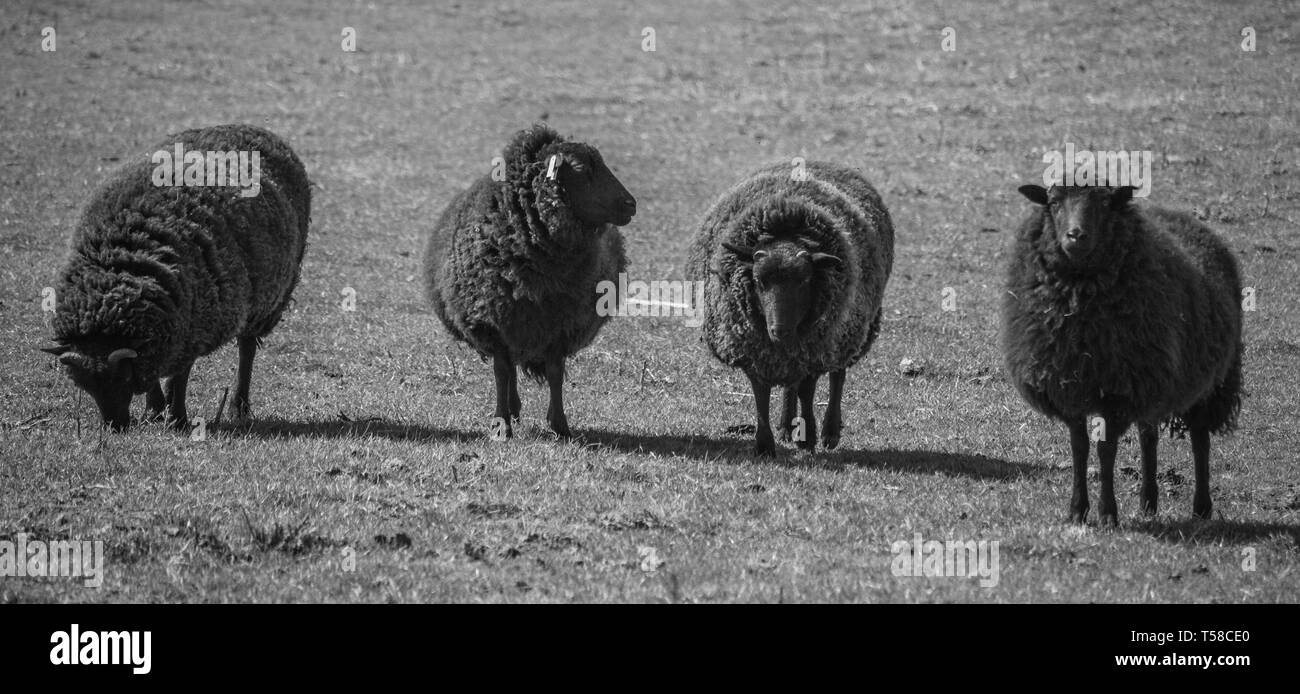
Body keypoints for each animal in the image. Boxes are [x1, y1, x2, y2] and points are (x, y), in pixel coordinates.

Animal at [40, 123, 311, 431]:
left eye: (121, 377)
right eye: (84, 385)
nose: (115, 426)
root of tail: (256, 128)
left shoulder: (193, 327)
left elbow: (178, 377)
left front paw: (177, 418)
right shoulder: (161, 336)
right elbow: (154, 374)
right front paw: (154, 411)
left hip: (266, 302)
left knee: (246, 350)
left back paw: (238, 407)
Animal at [423, 123, 636, 439]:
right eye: (580, 169)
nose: (630, 204)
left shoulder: (561, 325)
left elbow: (555, 374)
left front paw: (560, 425)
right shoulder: (494, 322)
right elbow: (501, 372)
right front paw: (501, 424)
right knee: (509, 369)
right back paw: (512, 409)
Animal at [687, 160, 895, 455]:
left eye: (805, 280)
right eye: (759, 281)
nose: (780, 330)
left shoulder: (813, 350)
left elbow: (808, 391)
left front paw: (807, 438)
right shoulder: (754, 349)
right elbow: (761, 394)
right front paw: (765, 444)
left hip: (847, 332)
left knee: (837, 376)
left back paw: (830, 432)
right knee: (791, 385)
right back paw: (786, 425)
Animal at [1002, 184, 1243, 526]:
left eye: (1105, 204)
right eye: (1053, 202)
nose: (1076, 235)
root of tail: (1180, 215)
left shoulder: (1117, 392)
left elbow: (1106, 449)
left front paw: (1107, 513)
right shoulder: (1071, 387)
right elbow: (1079, 447)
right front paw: (1077, 510)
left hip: (1211, 381)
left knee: (1200, 439)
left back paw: (1201, 508)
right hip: (1154, 379)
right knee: (1148, 436)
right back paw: (1148, 502)